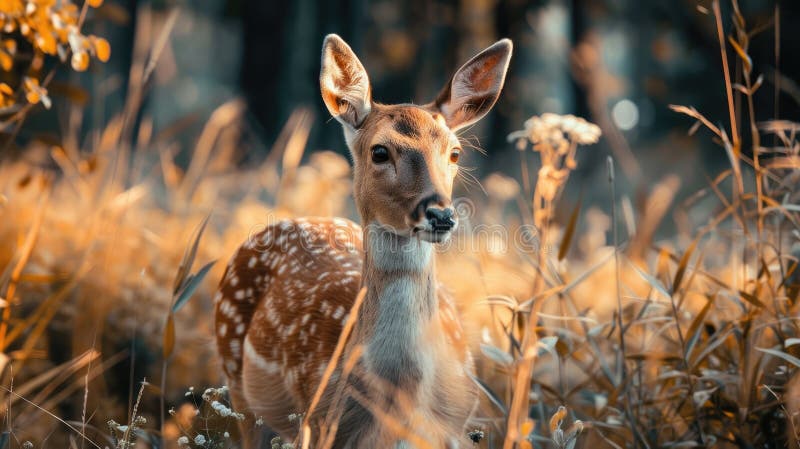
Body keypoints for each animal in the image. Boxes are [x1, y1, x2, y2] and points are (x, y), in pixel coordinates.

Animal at [214, 34, 512, 448]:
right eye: (380, 151)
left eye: (455, 152)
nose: (441, 215)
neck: (400, 403)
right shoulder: (318, 424)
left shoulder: (457, 428)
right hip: (235, 377)